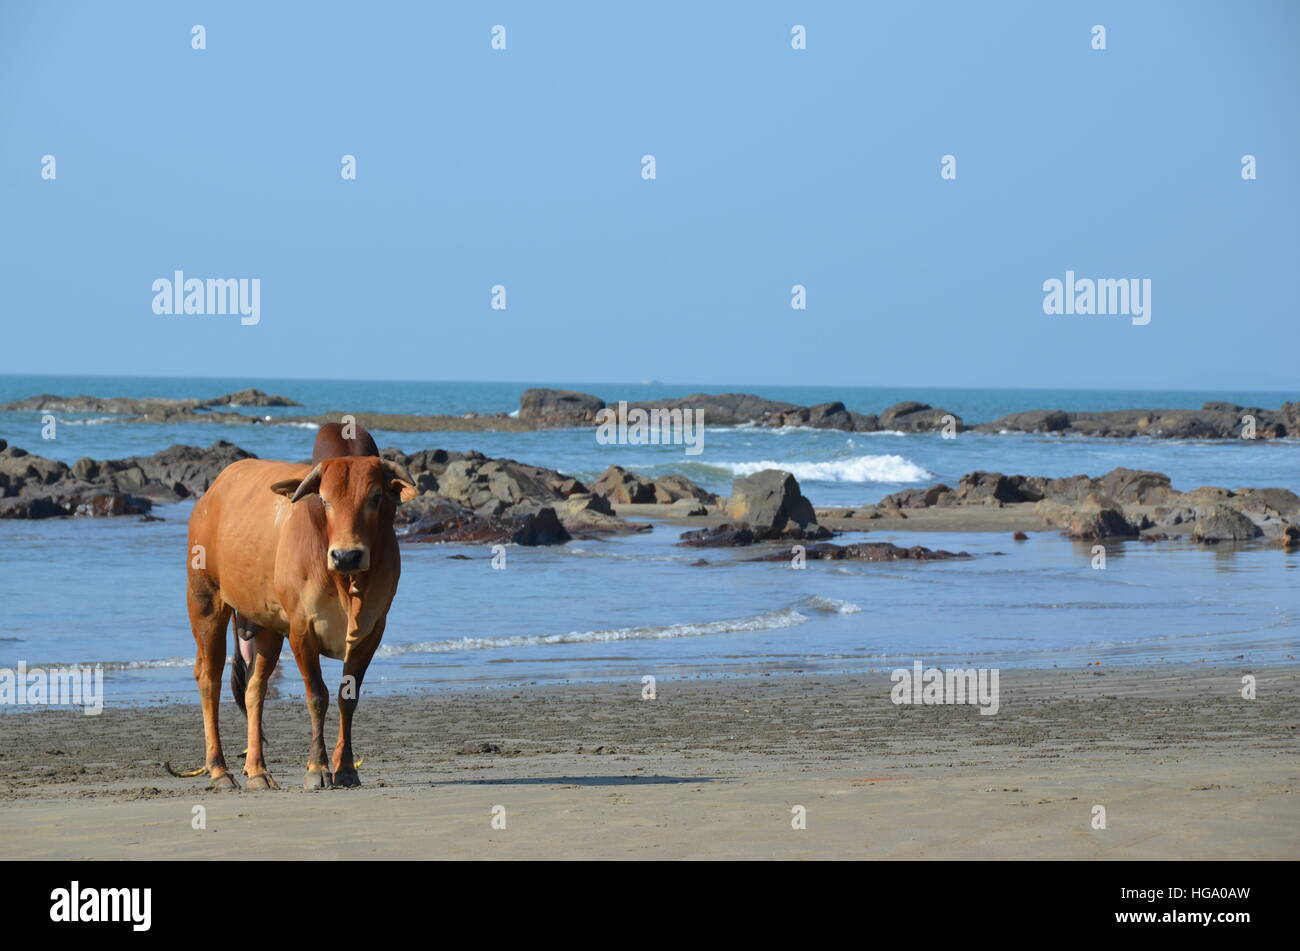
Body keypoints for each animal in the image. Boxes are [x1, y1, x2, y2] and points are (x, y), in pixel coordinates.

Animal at [187, 429, 415, 791]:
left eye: (376, 497)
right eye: (324, 499)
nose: (347, 555)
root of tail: (211, 495)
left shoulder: (372, 631)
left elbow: (348, 697)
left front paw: (346, 768)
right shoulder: (301, 630)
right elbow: (317, 695)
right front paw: (318, 768)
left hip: (265, 628)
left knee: (254, 689)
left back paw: (257, 770)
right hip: (205, 603)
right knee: (210, 679)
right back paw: (220, 771)